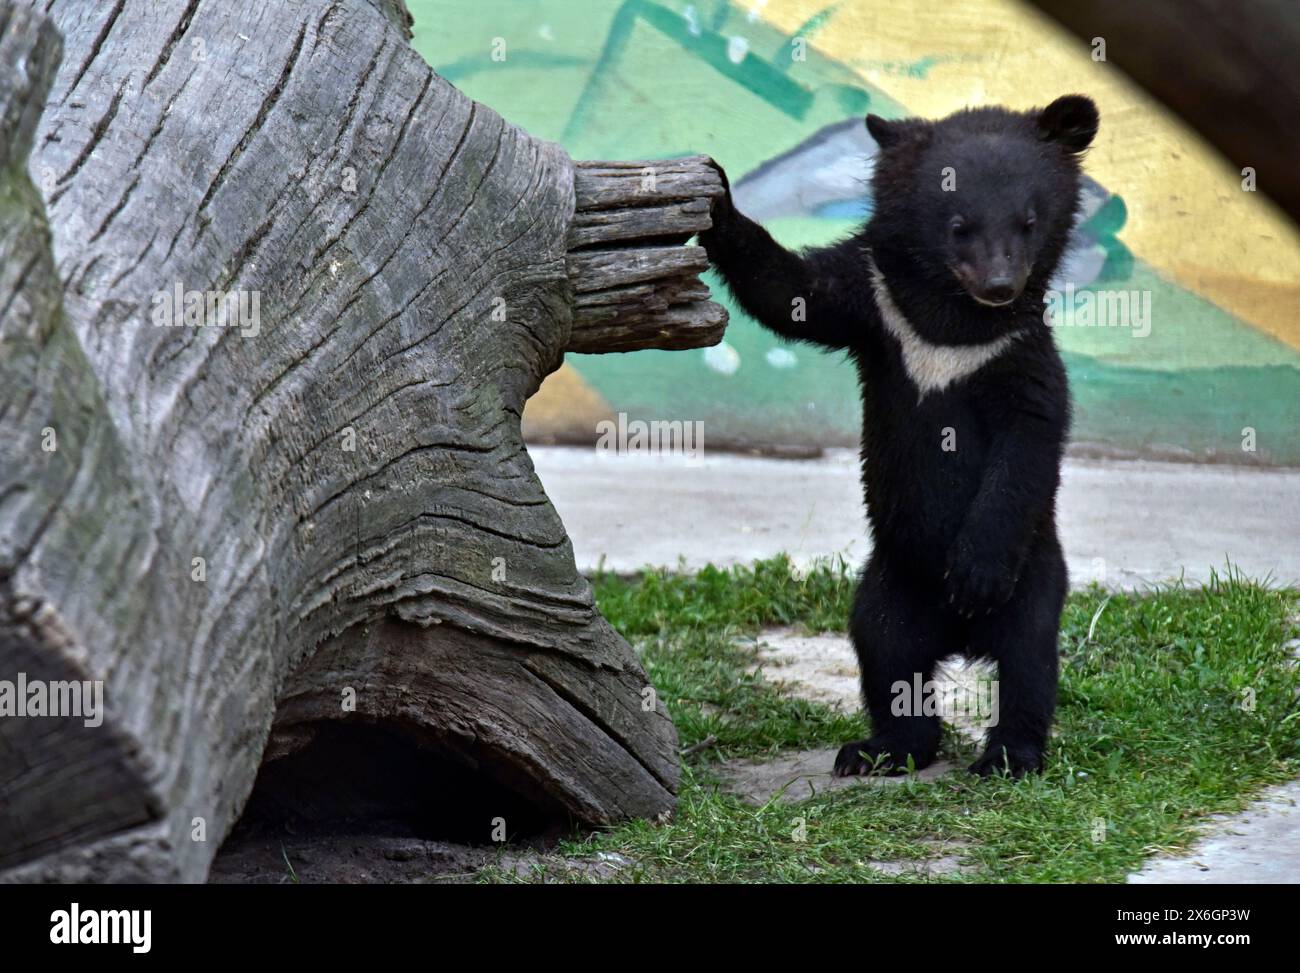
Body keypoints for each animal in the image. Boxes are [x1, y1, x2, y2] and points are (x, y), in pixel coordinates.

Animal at [698, 95, 1100, 777]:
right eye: (959, 224)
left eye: (1028, 221)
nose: (1001, 286)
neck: (952, 319)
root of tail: (960, 638)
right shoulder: (875, 299)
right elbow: (793, 294)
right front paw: (715, 199)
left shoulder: (1020, 353)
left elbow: (1027, 444)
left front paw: (974, 574)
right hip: (890, 582)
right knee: (887, 653)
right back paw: (882, 748)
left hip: (1036, 571)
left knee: (1028, 659)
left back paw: (1008, 755)